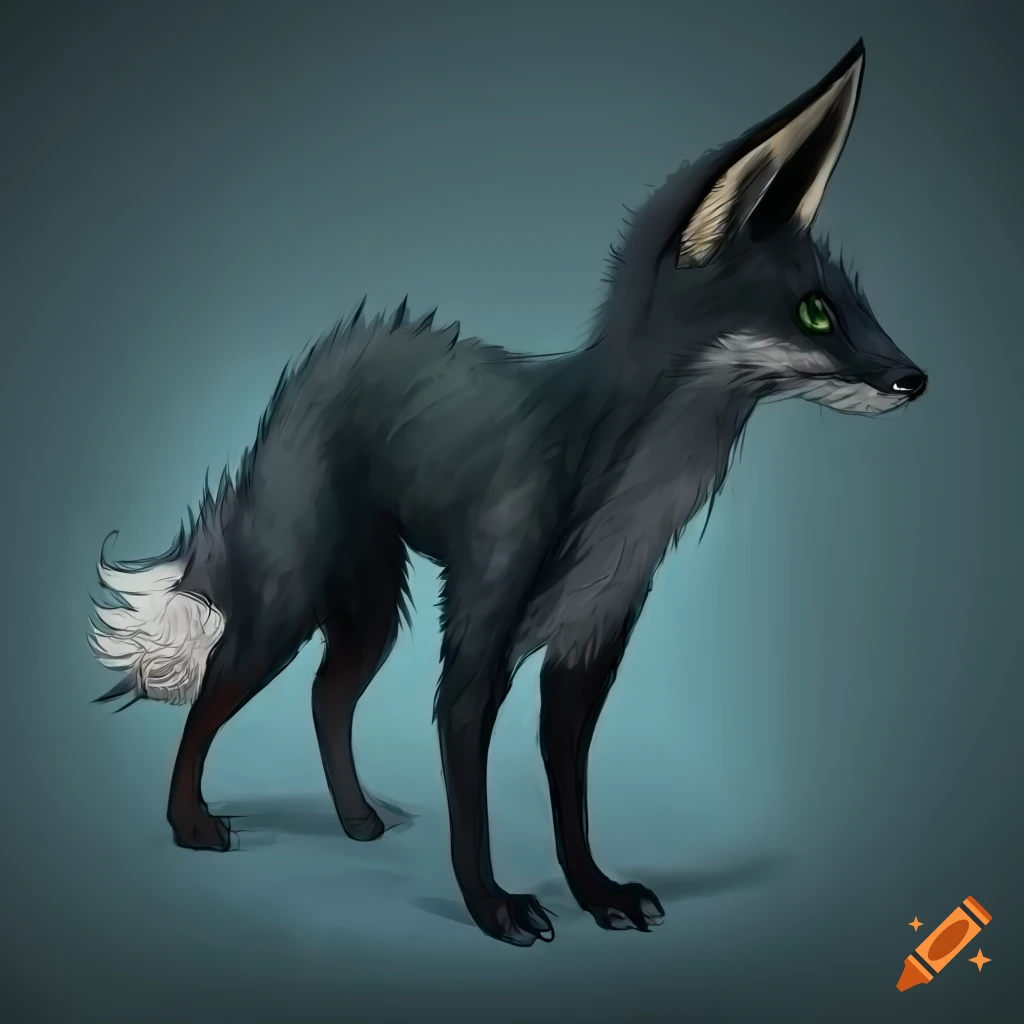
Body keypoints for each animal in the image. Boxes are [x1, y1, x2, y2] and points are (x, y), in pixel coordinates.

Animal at [88, 39, 926, 947]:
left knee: (325, 698)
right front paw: (492, 908)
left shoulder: (588, 648)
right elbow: (473, 802)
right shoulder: (481, 638)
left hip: (370, 611)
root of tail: (315, 364)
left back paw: (357, 820)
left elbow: (571, 799)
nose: (915, 379)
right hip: (295, 603)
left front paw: (596, 892)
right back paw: (190, 823)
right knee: (221, 689)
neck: (623, 492)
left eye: (857, 306)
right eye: (813, 315)